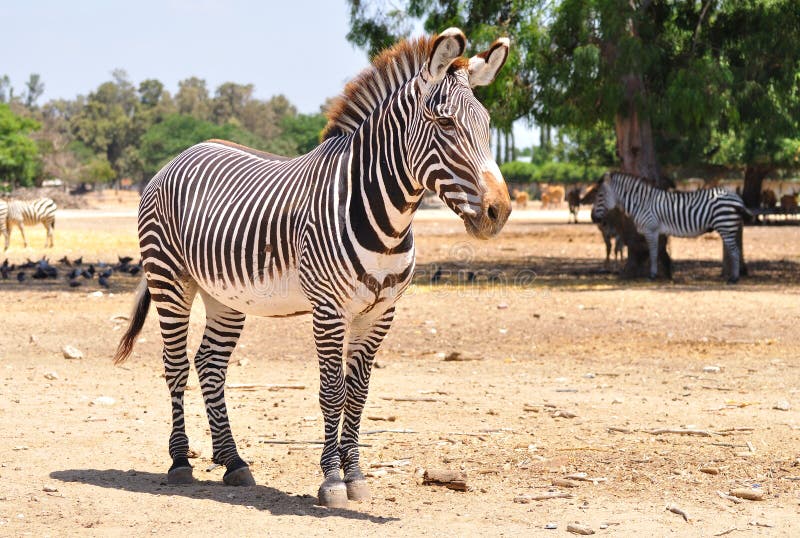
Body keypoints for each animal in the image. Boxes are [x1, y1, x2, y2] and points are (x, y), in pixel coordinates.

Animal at [113, 28, 511, 508]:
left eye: (487, 125)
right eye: (446, 124)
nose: (499, 212)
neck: (386, 216)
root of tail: (181, 154)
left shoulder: (382, 312)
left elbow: (358, 393)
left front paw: (355, 475)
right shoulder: (328, 309)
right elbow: (332, 392)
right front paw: (332, 480)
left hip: (224, 294)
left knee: (210, 364)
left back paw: (233, 462)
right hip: (170, 279)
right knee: (175, 364)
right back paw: (179, 462)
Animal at [591, 172, 751, 282]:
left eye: (600, 196)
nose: (593, 218)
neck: (642, 203)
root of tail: (737, 198)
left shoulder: (651, 230)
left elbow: (653, 253)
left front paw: (652, 275)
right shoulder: (656, 232)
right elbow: (658, 252)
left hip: (725, 225)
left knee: (735, 251)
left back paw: (734, 279)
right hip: (729, 227)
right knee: (735, 250)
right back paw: (734, 276)